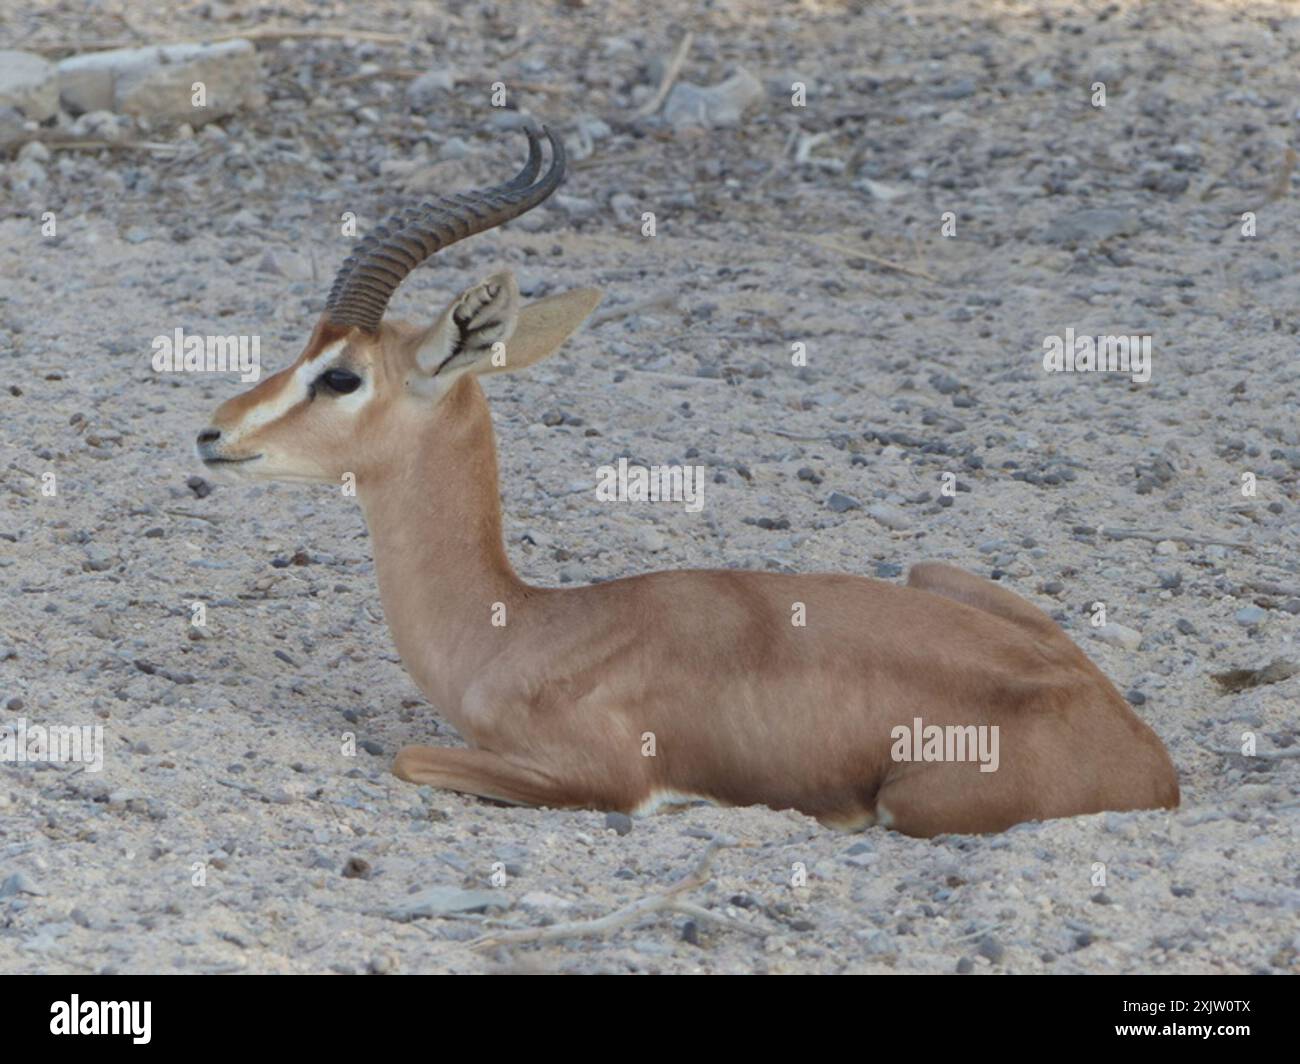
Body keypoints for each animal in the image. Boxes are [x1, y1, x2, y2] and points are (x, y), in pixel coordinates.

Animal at [196, 127, 1179, 836]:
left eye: (340, 376)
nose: (213, 433)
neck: (522, 631)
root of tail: (1143, 752)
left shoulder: (599, 771)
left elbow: (411, 757)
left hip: (913, 802)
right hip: (935, 572)